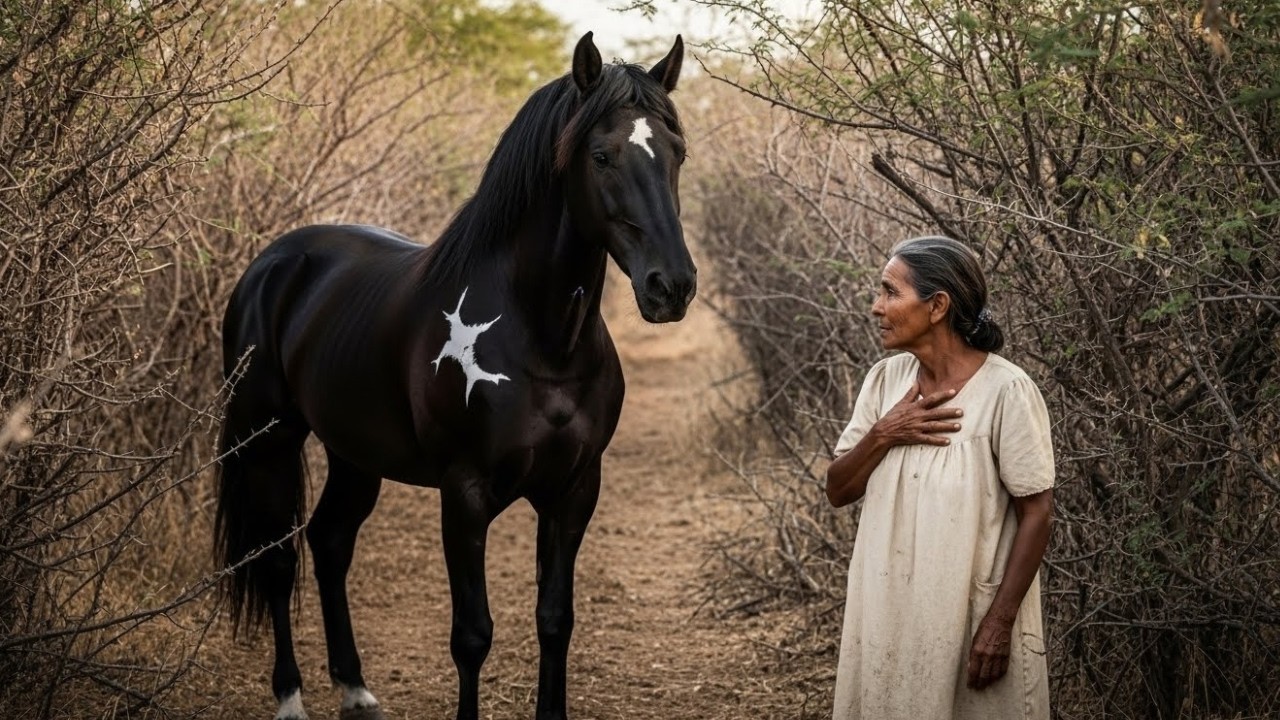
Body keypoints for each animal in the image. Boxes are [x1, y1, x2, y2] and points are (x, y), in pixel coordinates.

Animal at [214, 32, 692, 720]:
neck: (542, 341)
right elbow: (473, 635)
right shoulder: (463, 495)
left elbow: (555, 620)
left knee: (330, 543)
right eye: (602, 155)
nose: (671, 286)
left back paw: (355, 688)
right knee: (277, 560)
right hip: (269, 442)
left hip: (354, 453)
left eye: (677, 151)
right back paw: (289, 698)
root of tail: (272, 263)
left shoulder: (575, 490)